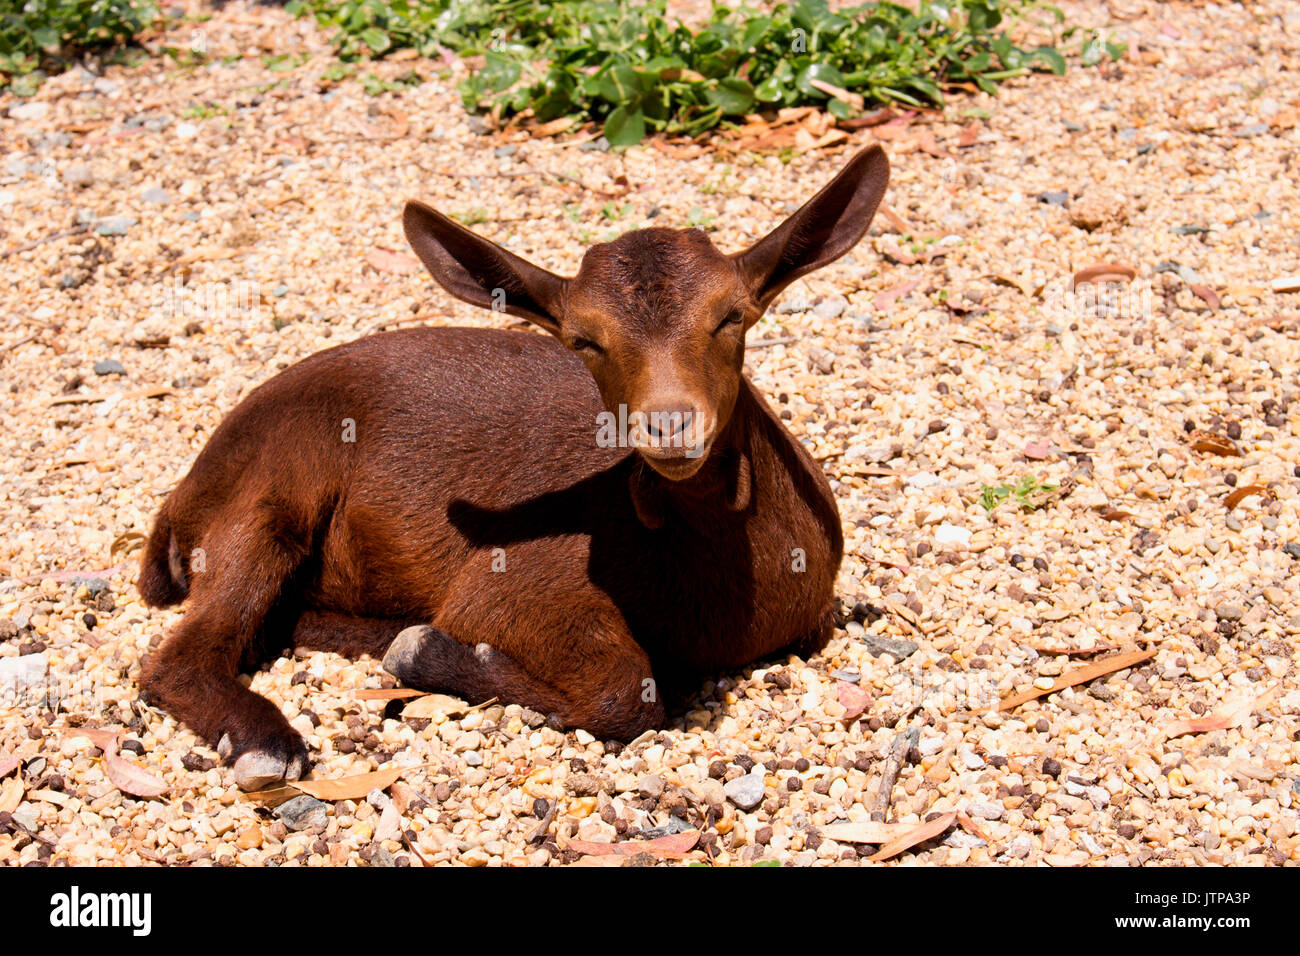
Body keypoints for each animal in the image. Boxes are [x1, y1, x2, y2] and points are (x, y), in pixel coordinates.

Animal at [137, 145, 890, 790]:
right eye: (584, 340)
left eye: (732, 316)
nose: (669, 425)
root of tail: (184, 495)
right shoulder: (521, 583)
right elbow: (623, 690)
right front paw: (430, 654)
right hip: (275, 475)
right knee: (185, 649)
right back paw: (268, 740)